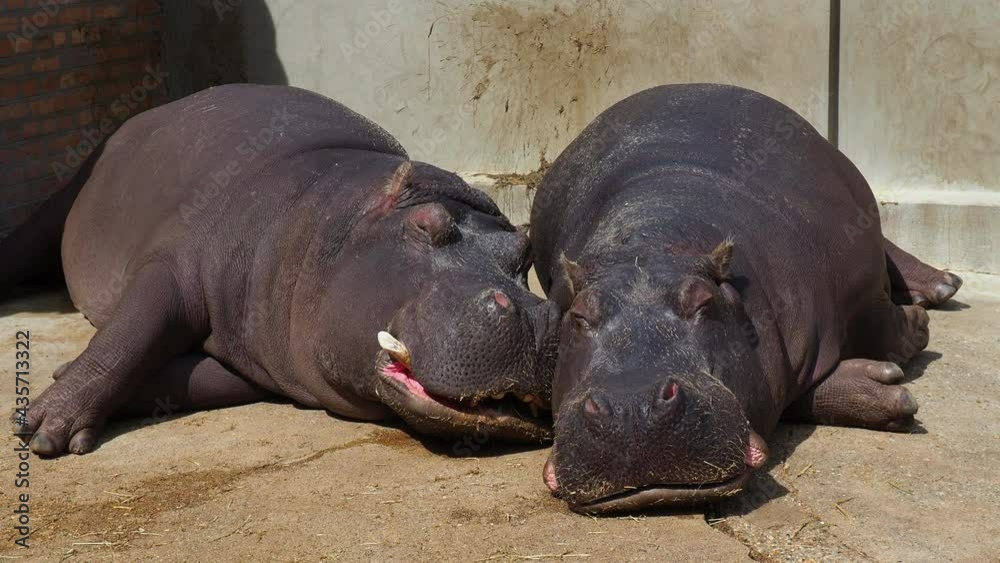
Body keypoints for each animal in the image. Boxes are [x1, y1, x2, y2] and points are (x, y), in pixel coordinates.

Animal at [3, 84, 559, 456]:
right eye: (427, 225)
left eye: (525, 251)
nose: (540, 317)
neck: (326, 215)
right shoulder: (175, 266)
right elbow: (128, 335)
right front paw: (41, 430)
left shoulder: (266, 360)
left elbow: (199, 380)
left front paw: (60, 379)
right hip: (62, 202)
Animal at [530, 84, 962, 513]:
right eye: (579, 316)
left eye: (703, 301)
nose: (631, 408)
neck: (651, 242)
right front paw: (887, 385)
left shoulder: (860, 284)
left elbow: (886, 326)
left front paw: (918, 326)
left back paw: (942, 285)